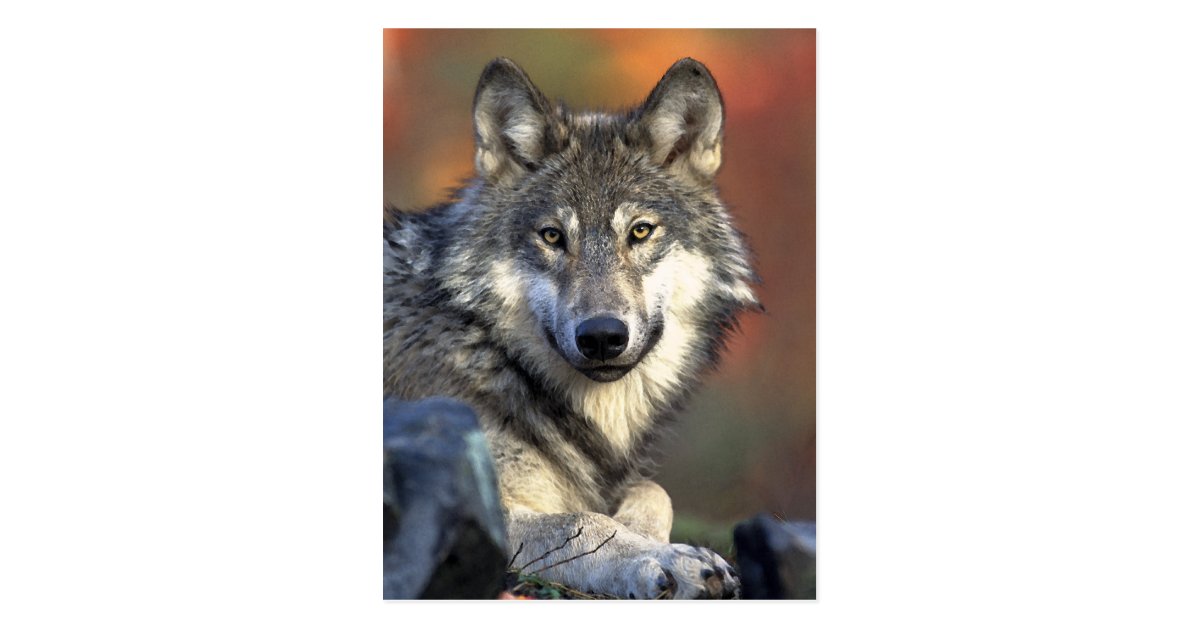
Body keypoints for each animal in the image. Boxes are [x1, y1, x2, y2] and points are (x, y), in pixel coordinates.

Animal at [384, 57, 760, 599]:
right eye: (553, 236)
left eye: (640, 231)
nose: (602, 336)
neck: (489, 352)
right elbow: (583, 522)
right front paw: (664, 559)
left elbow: (654, 490)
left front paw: (651, 538)